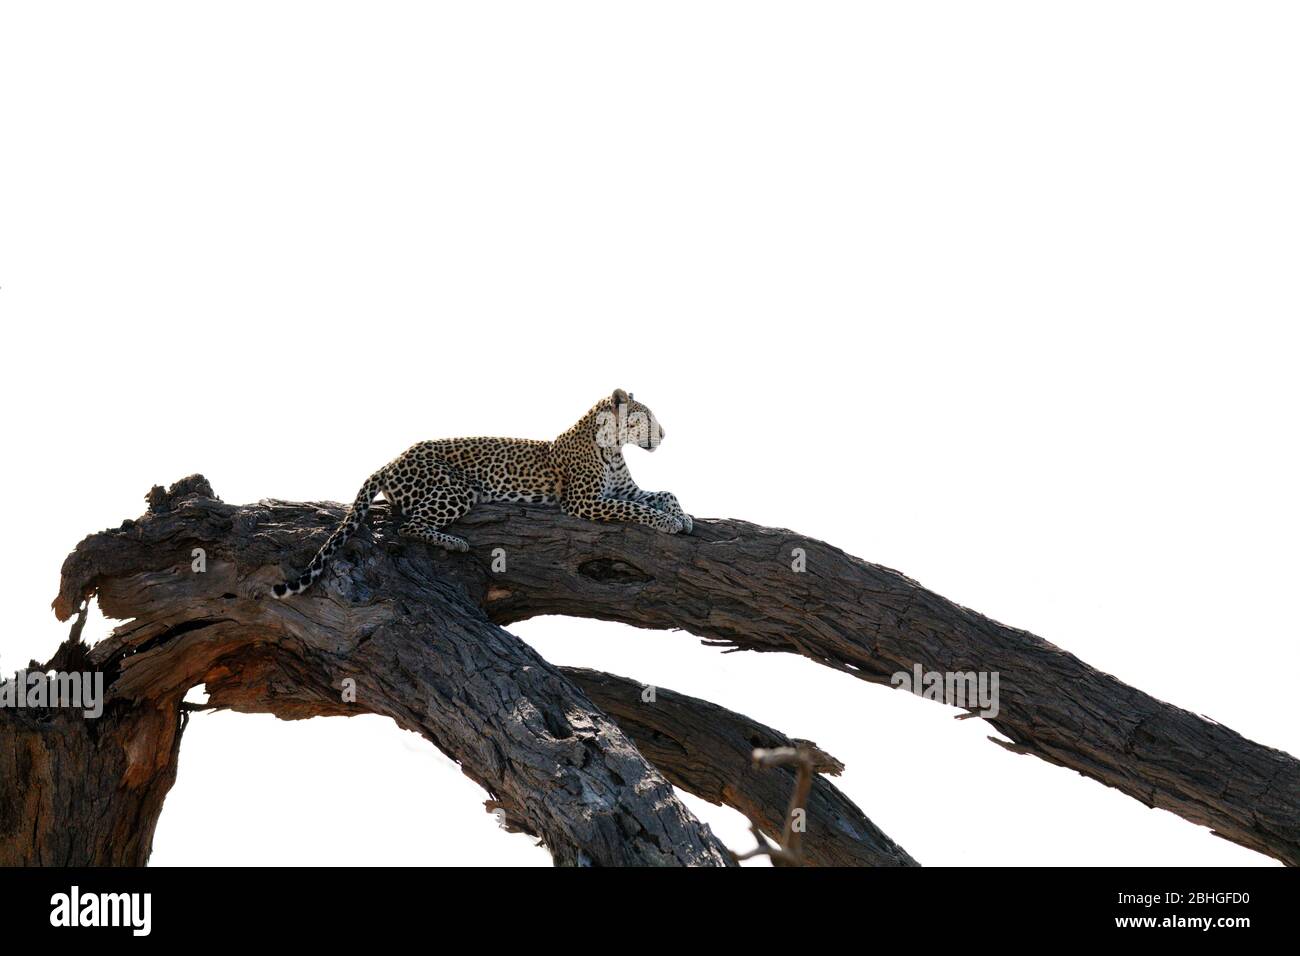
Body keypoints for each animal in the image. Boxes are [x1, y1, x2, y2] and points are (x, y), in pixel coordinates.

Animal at [271, 390, 691, 598]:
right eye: (644, 418)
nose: (664, 434)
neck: (614, 448)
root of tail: (391, 461)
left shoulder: (625, 490)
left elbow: (665, 494)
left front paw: (683, 516)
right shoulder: (585, 502)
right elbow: (637, 511)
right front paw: (669, 523)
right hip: (457, 489)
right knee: (410, 525)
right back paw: (454, 542)